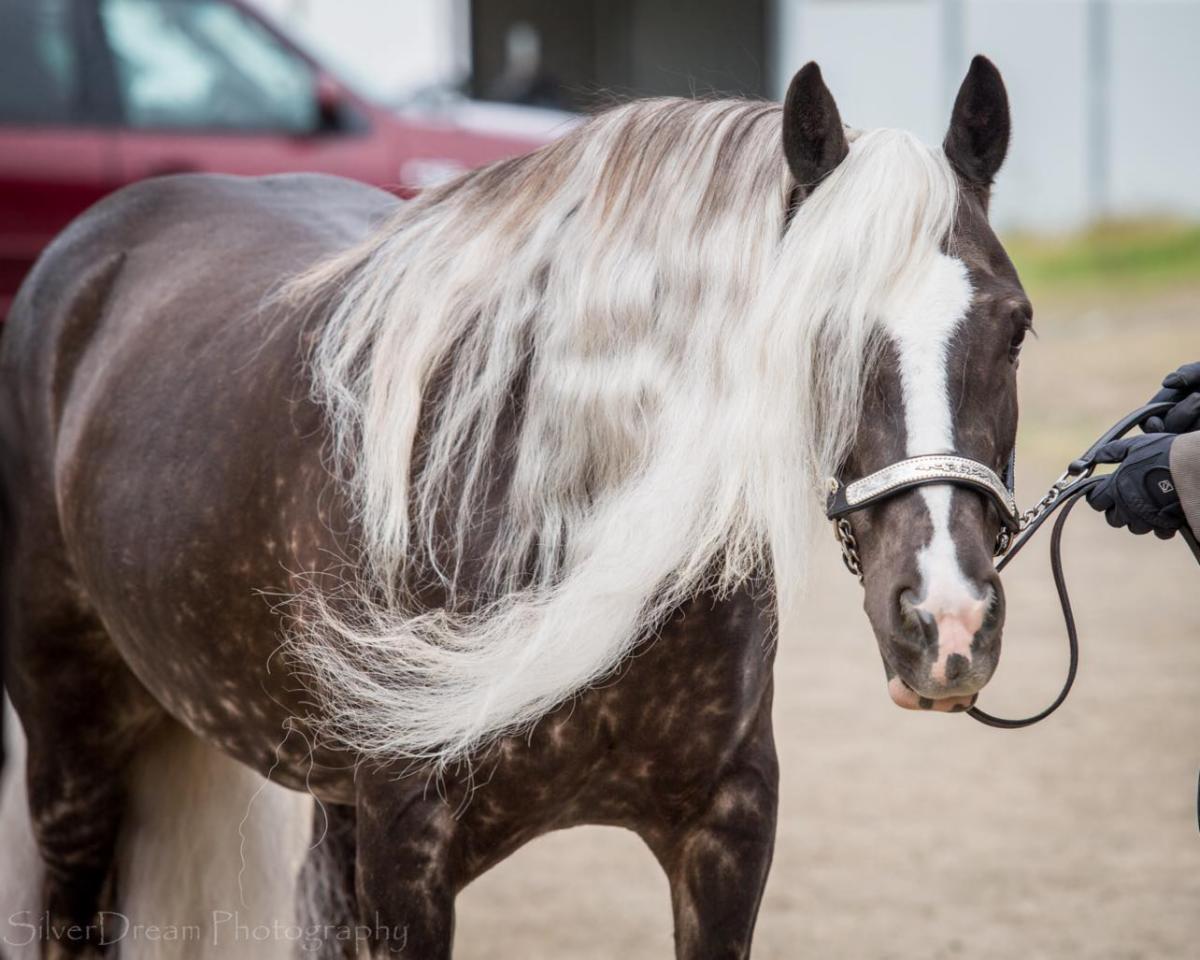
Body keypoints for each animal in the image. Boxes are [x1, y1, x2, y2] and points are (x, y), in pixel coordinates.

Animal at [0, 56, 1030, 958]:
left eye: (1015, 328)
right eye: (816, 332)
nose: (948, 621)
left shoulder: (728, 829)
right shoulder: (407, 856)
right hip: (71, 756)